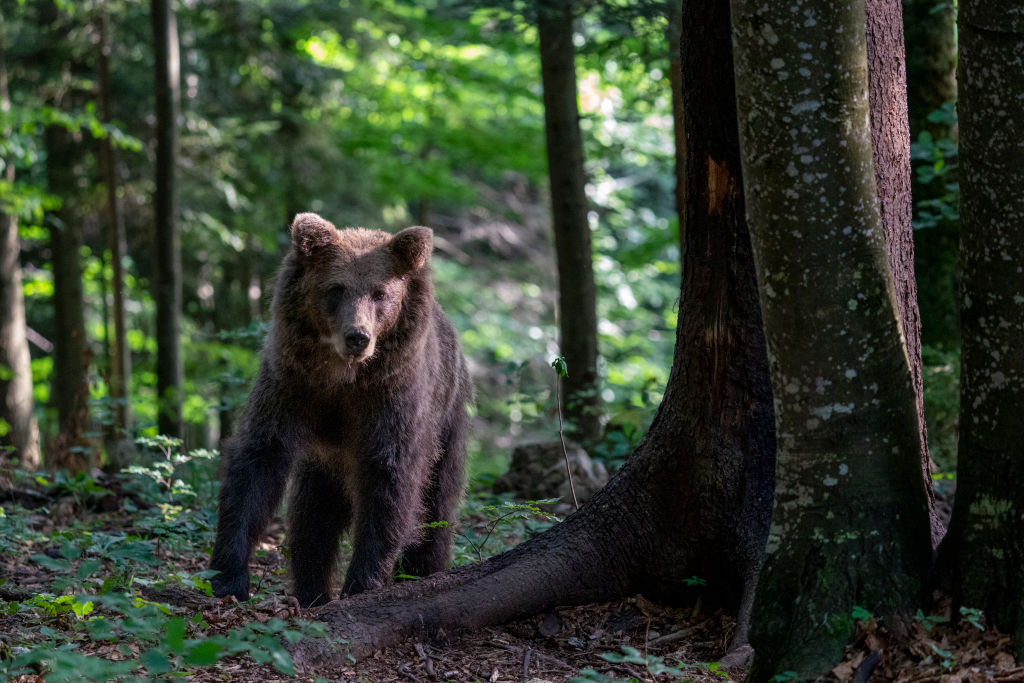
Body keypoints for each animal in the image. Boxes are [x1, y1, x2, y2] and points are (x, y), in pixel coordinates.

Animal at [209, 212, 471, 607]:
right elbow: (259, 461)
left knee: (437, 505)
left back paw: (423, 570)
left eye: (380, 293)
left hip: (447, 419)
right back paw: (312, 590)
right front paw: (228, 576)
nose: (357, 337)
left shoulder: (391, 398)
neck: (342, 380)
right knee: (313, 514)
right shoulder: (291, 386)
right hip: (324, 459)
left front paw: (363, 582)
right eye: (335, 289)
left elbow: (390, 480)